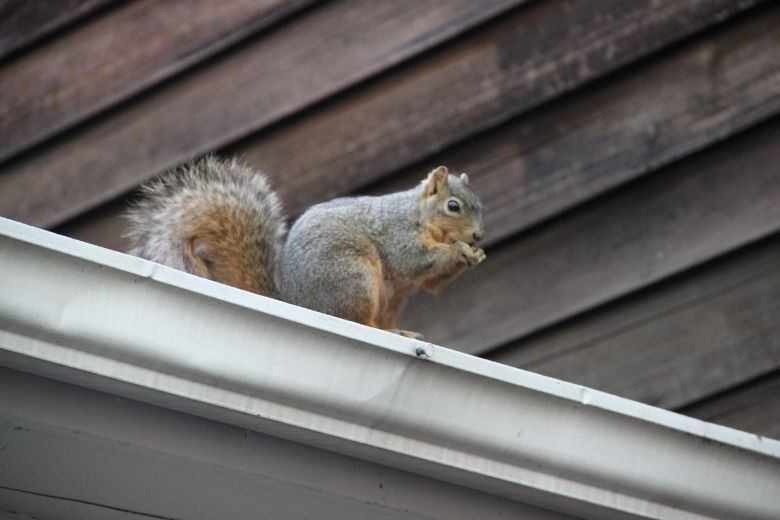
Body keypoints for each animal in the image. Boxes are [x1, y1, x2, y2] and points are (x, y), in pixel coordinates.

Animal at [125, 156, 486, 339]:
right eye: (453, 206)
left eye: (480, 205)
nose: (478, 236)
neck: (419, 214)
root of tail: (298, 303)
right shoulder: (397, 232)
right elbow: (413, 261)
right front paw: (459, 251)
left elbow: (431, 282)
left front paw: (476, 256)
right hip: (353, 276)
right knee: (355, 319)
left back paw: (401, 332)